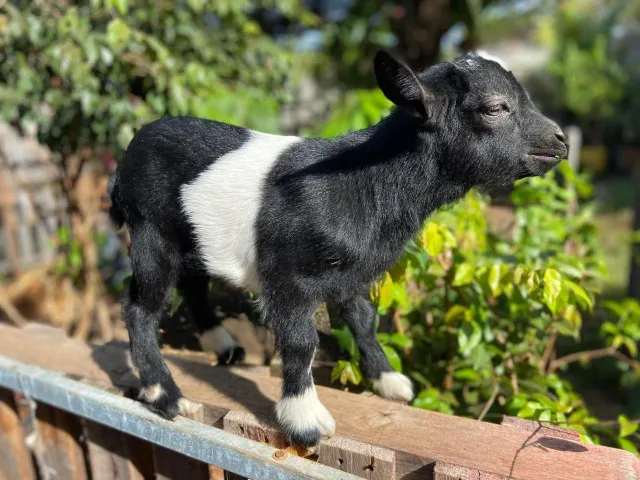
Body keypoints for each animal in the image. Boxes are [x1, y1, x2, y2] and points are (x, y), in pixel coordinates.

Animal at [108, 50, 567, 448]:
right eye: (495, 108)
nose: (561, 141)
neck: (362, 180)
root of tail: (129, 150)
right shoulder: (289, 277)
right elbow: (300, 341)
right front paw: (305, 421)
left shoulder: (353, 273)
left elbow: (364, 322)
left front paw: (389, 381)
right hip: (149, 230)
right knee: (140, 307)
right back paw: (166, 394)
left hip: (190, 236)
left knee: (192, 285)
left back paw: (222, 344)